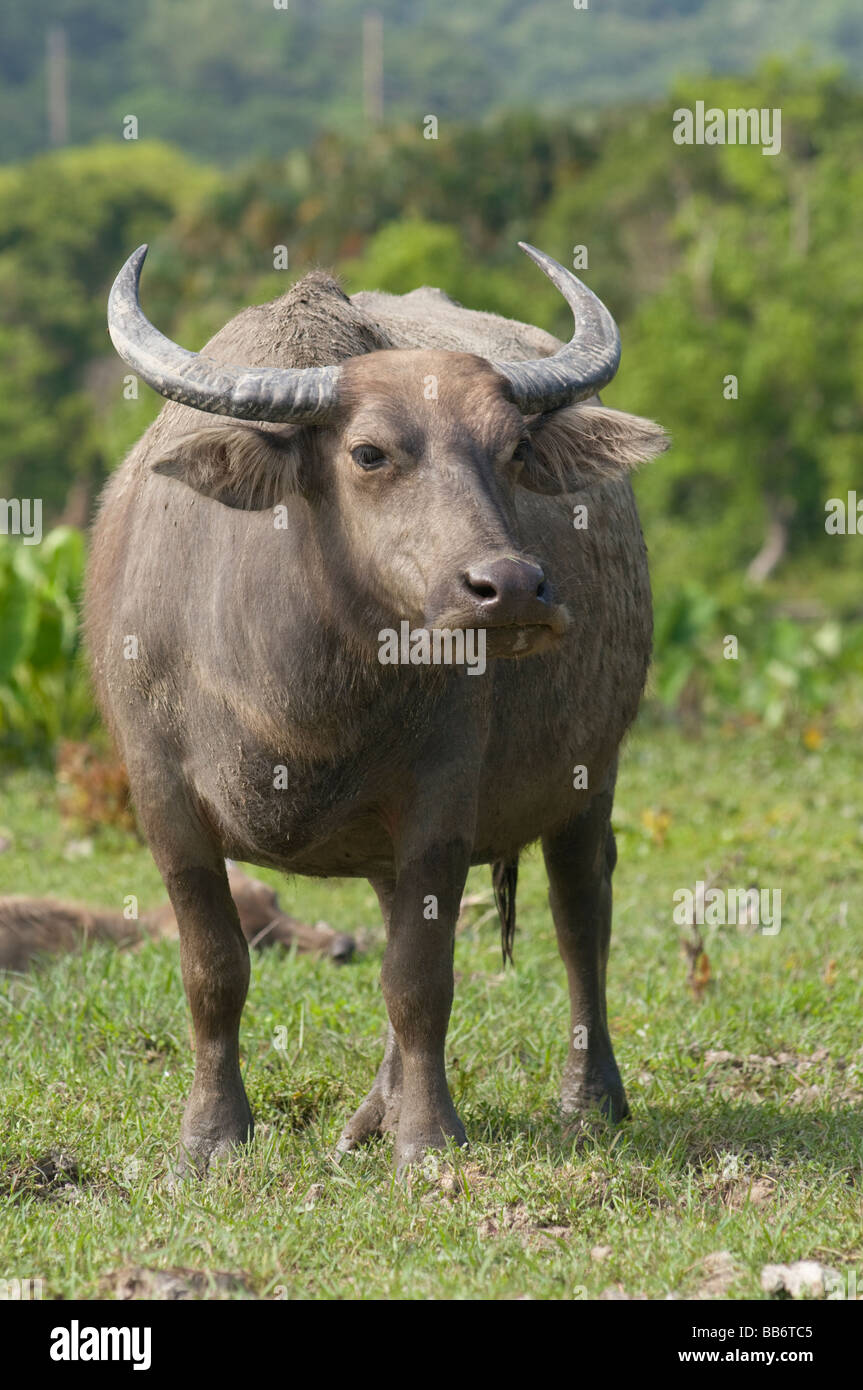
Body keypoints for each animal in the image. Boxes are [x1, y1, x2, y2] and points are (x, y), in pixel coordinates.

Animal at [86, 242, 667, 1171]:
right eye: (367, 454)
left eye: (511, 450)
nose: (511, 588)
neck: (290, 696)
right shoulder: (161, 796)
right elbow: (214, 970)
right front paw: (211, 1138)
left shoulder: (443, 798)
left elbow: (419, 978)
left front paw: (427, 1139)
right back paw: (368, 1118)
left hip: (592, 772)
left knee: (582, 913)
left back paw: (589, 1101)